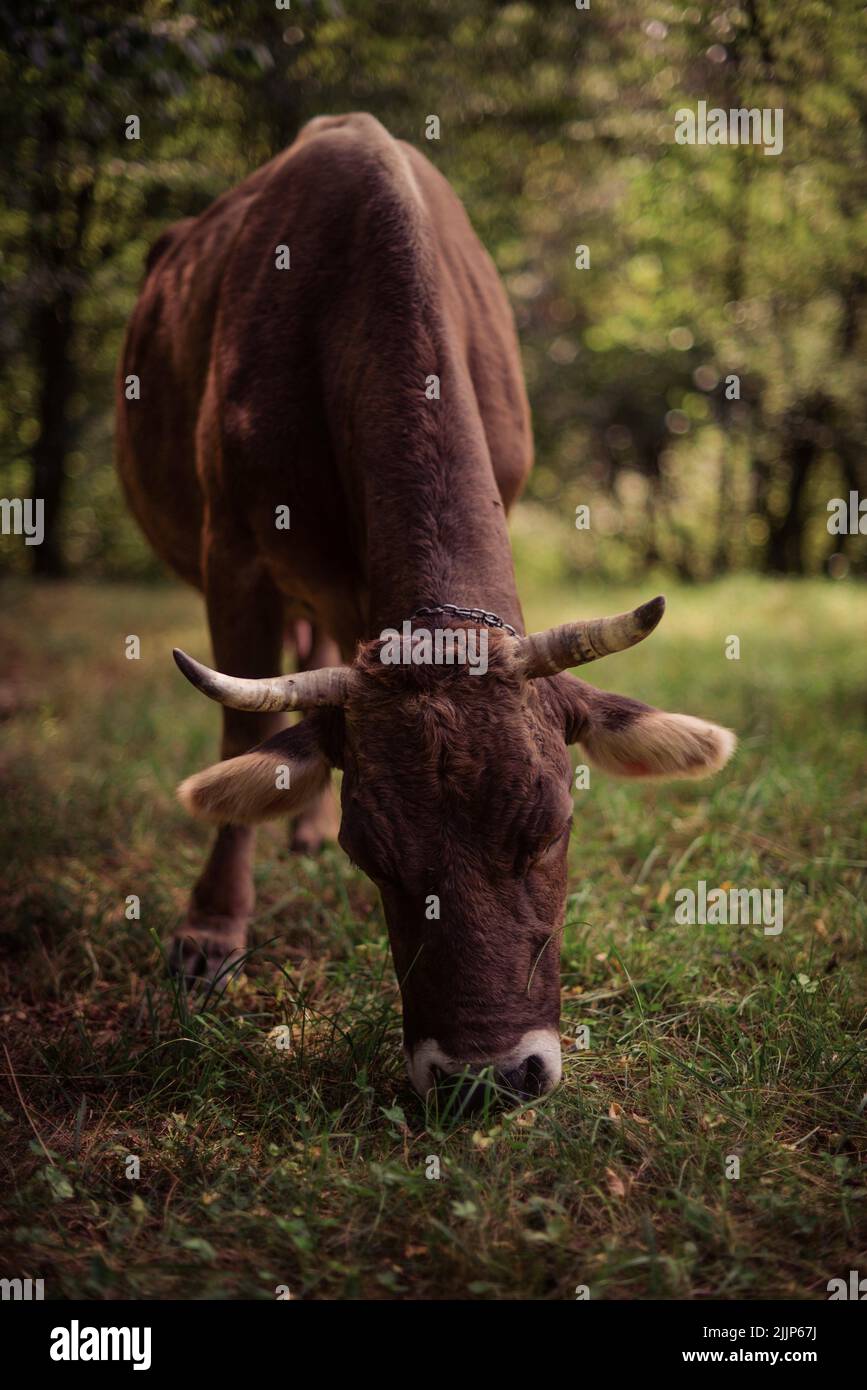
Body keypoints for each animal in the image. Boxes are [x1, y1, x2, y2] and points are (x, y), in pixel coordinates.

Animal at [116, 113, 735, 1104]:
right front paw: (210, 929)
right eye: (370, 853)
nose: (487, 1076)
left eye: (550, 826)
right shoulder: (233, 555)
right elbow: (241, 736)